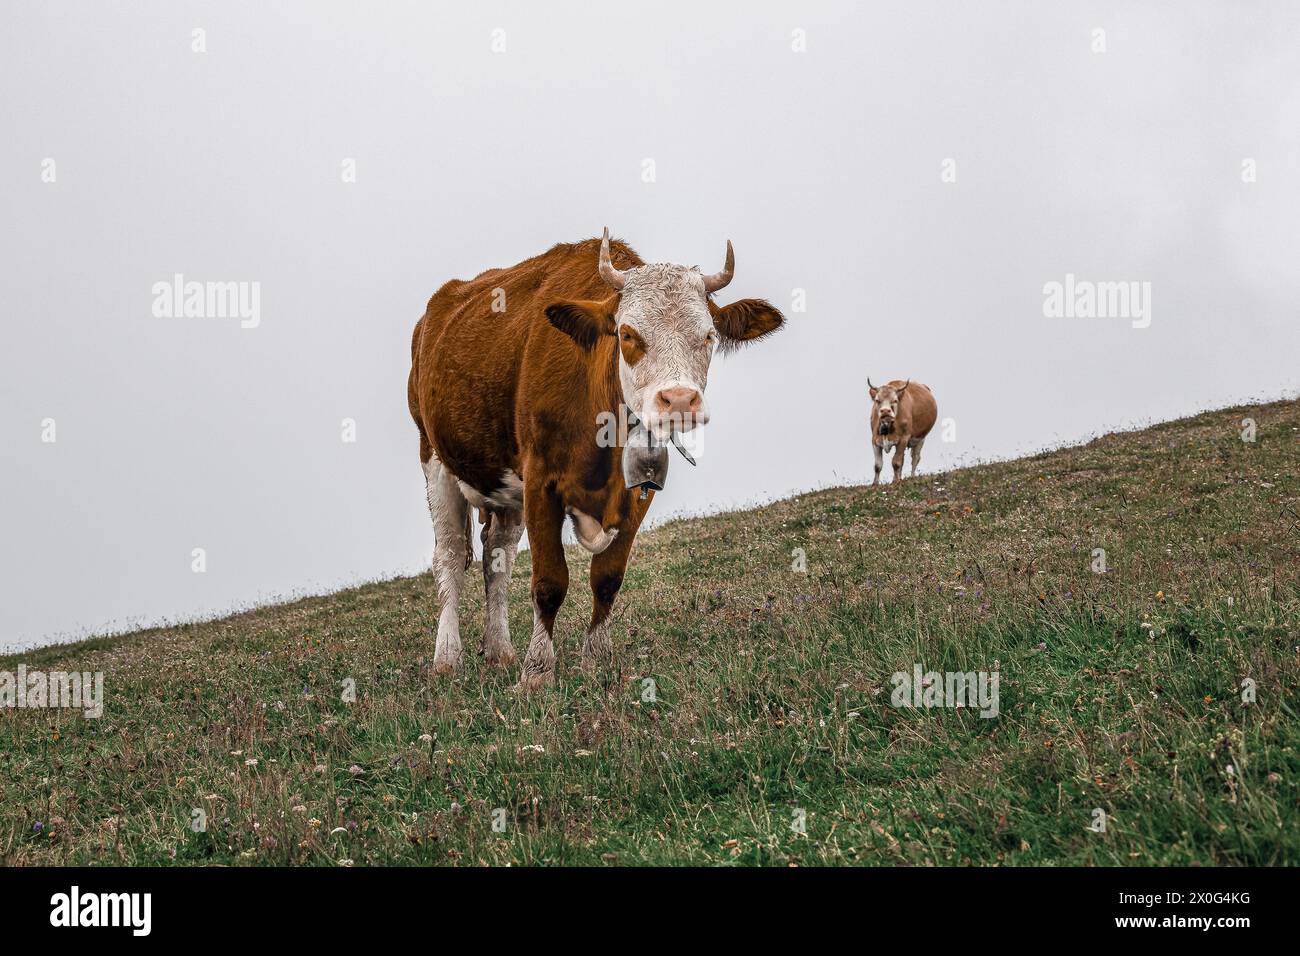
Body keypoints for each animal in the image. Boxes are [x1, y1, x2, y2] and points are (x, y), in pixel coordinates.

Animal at [407, 230, 784, 691]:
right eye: (627, 334)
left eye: (708, 336)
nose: (679, 400)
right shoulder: (540, 480)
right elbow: (549, 581)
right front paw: (537, 673)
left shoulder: (639, 490)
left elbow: (607, 577)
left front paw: (596, 661)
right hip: (434, 458)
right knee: (449, 556)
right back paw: (448, 656)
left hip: (503, 485)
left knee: (497, 556)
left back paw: (499, 651)